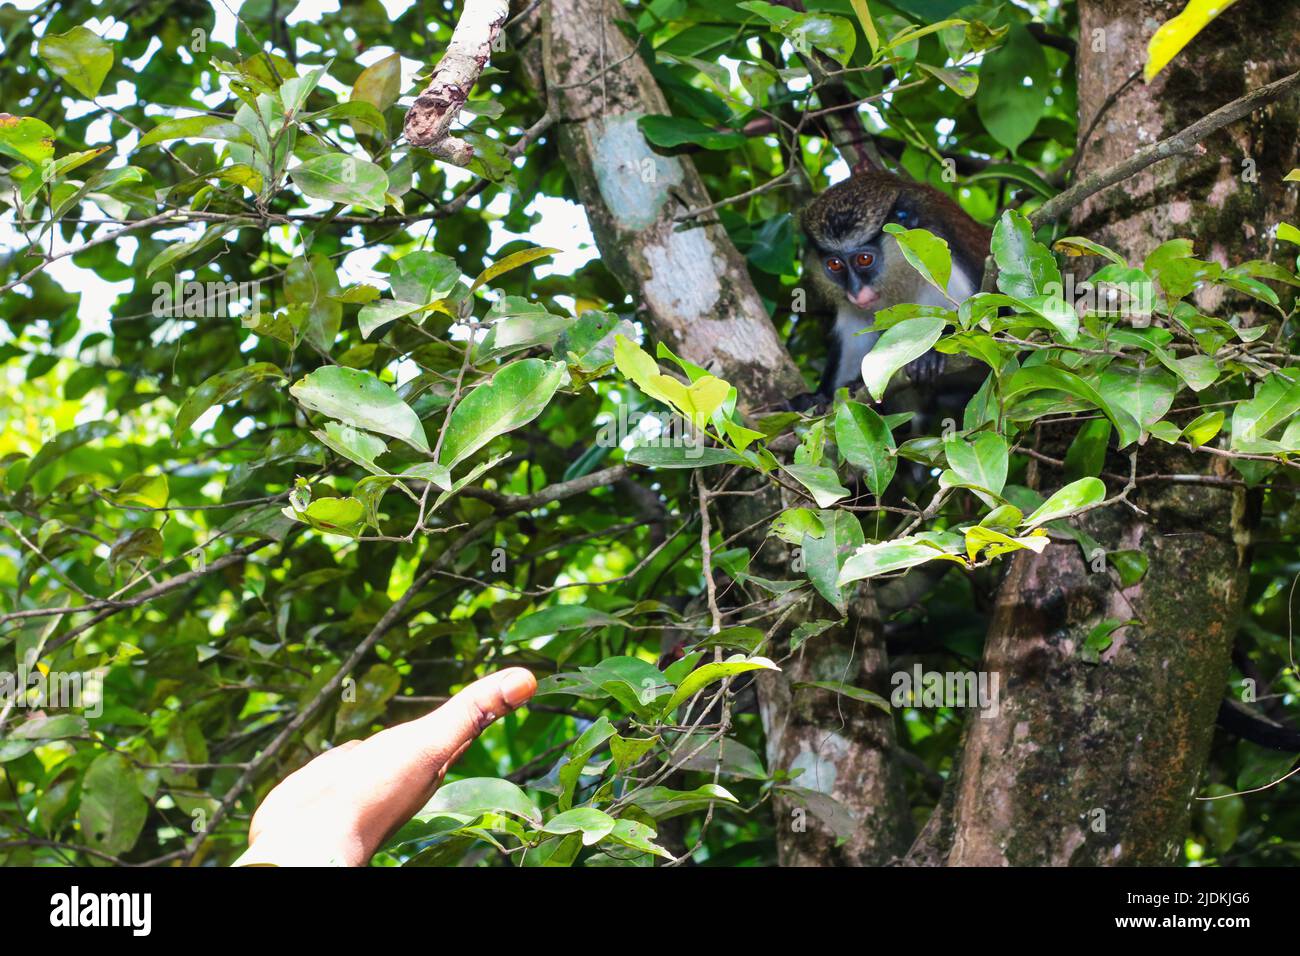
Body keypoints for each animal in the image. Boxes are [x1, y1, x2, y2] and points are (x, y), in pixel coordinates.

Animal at [793, 168, 992, 411]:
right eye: (835, 265)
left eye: (864, 259)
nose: (856, 293)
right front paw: (815, 399)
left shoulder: (944, 260)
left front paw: (930, 357)